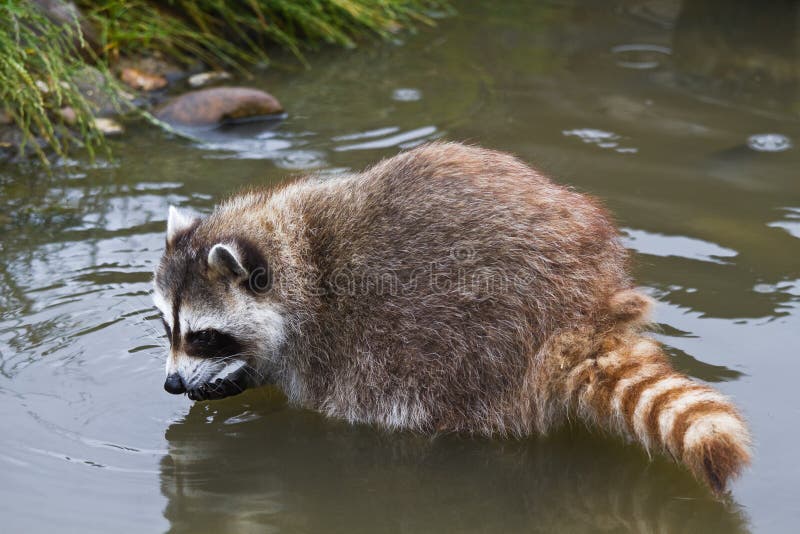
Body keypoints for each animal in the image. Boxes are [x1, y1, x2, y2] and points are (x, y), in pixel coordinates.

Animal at [153, 141, 750, 493]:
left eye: (204, 335)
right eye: (168, 327)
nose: (171, 383)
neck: (298, 255)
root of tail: (582, 307)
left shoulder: (332, 341)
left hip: (474, 341)